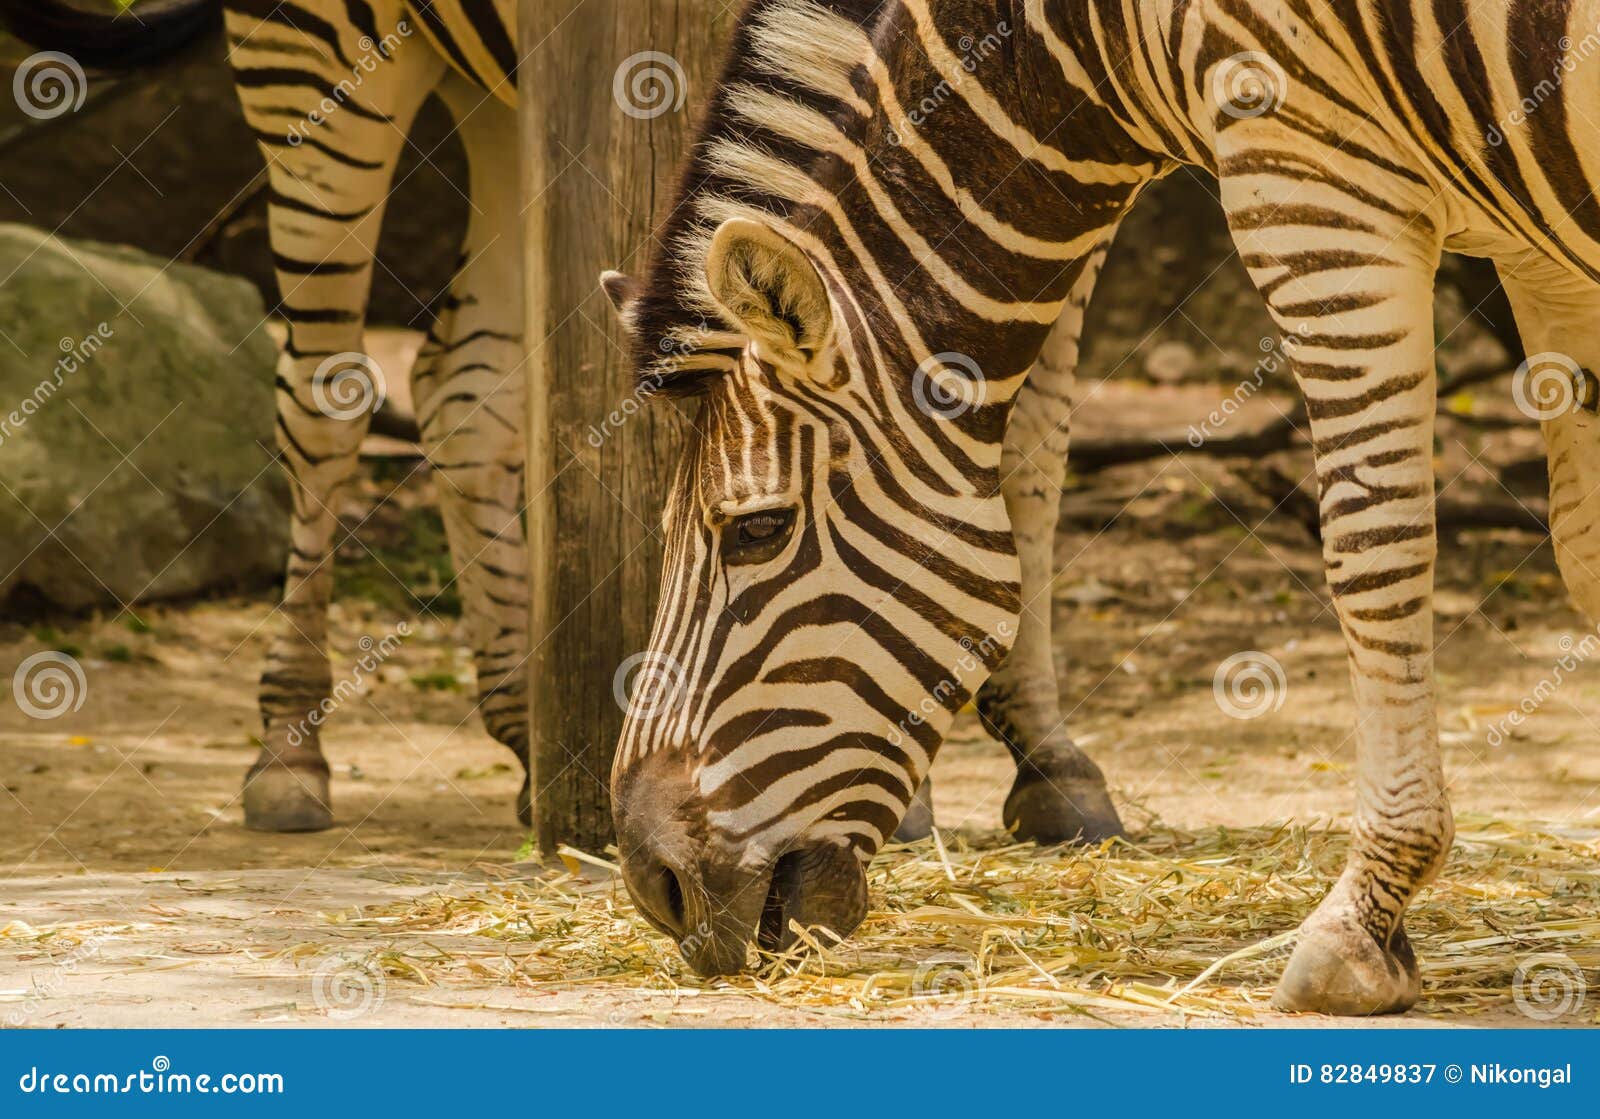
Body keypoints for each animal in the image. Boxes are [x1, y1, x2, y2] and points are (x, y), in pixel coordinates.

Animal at [600, 0, 1600, 1015]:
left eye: (757, 529)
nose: (653, 886)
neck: (1091, 35)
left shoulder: (1313, 171)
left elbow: (1373, 541)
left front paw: (1361, 926)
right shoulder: (1533, 241)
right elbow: (1582, 542)